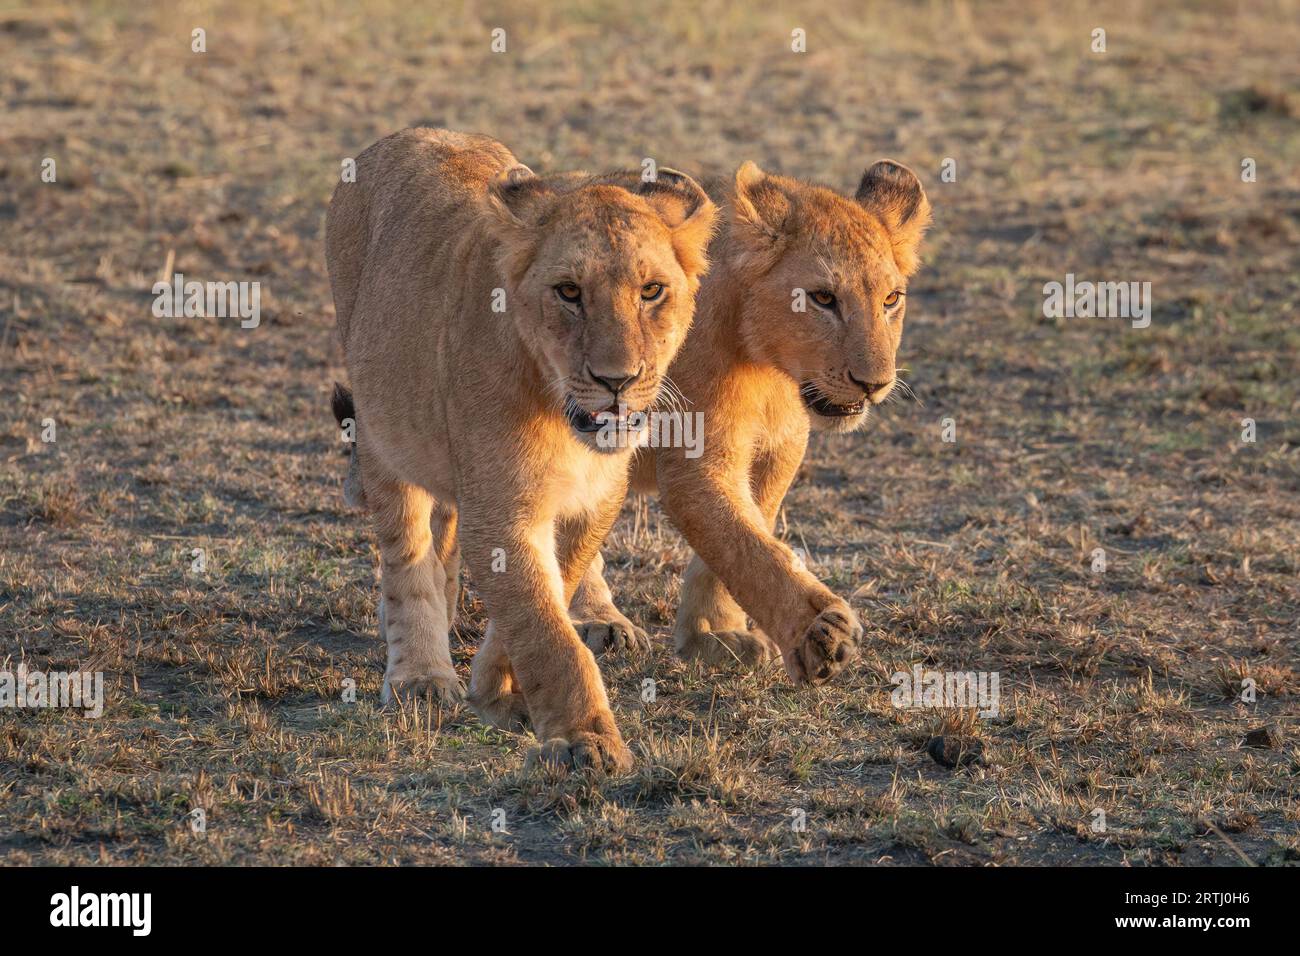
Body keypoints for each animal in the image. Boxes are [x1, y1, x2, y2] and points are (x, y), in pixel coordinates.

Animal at [326, 128, 716, 772]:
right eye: (568, 292)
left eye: (652, 291)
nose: (617, 380)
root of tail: (407, 133)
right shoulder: (502, 507)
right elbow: (544, 629)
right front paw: (586, 739)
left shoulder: (593, 498)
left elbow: (551, 589)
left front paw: (497, 687)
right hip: (383, 430)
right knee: (408, 556)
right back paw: (420, 674)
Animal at [568, 158, 932, 684]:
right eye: (823, 298)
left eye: (891, 299)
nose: (874, 384)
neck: (766, 366)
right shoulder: (697, 459)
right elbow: (747, 546)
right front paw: (818, 633)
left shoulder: (778, 451)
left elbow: (743, 535)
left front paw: (713, 634)